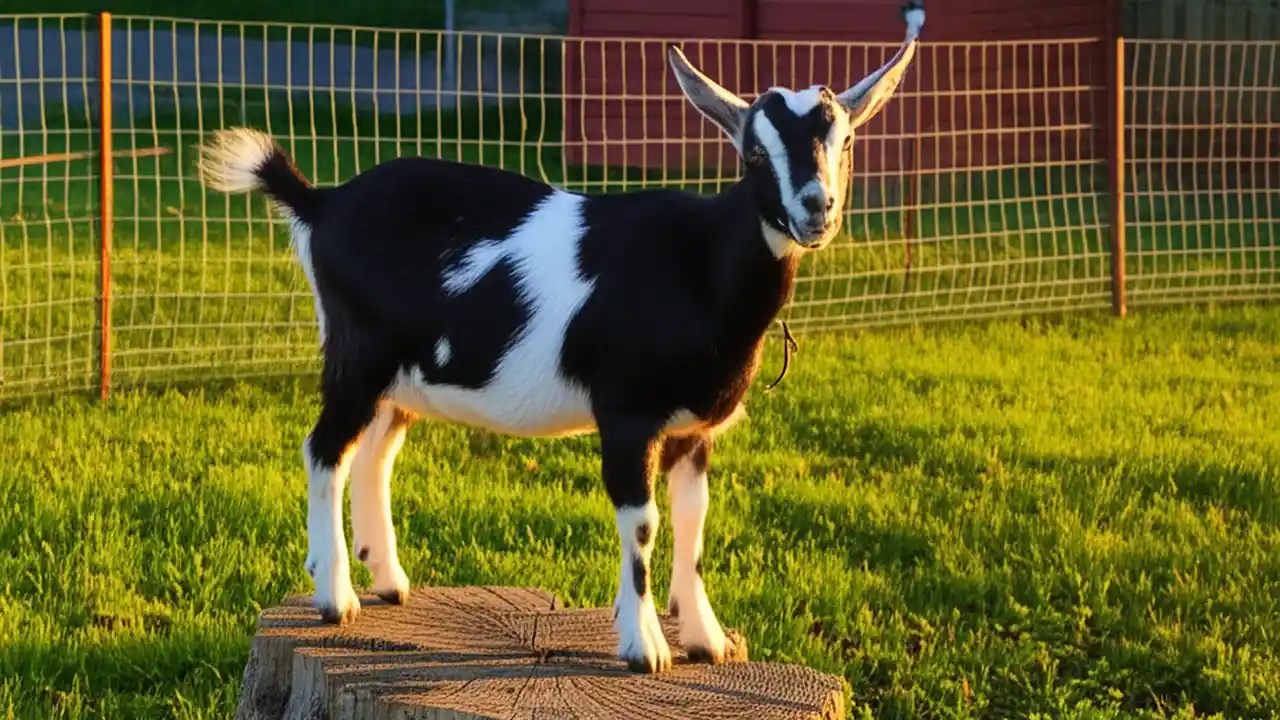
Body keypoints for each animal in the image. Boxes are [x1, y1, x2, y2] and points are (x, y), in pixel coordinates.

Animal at [197, 3, 924, 674]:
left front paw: (706, 640)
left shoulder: (694, 430)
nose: (815, 208)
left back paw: (390, 581)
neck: (700, 263)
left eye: (846, 142)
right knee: (325, 449)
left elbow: (694, 522)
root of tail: (322, 201)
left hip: (404, 372)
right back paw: (335, 597)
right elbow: (644, 524)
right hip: (357, 350)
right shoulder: (627, 414)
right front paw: (644, 648)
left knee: (374, 452)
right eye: (752, 153)